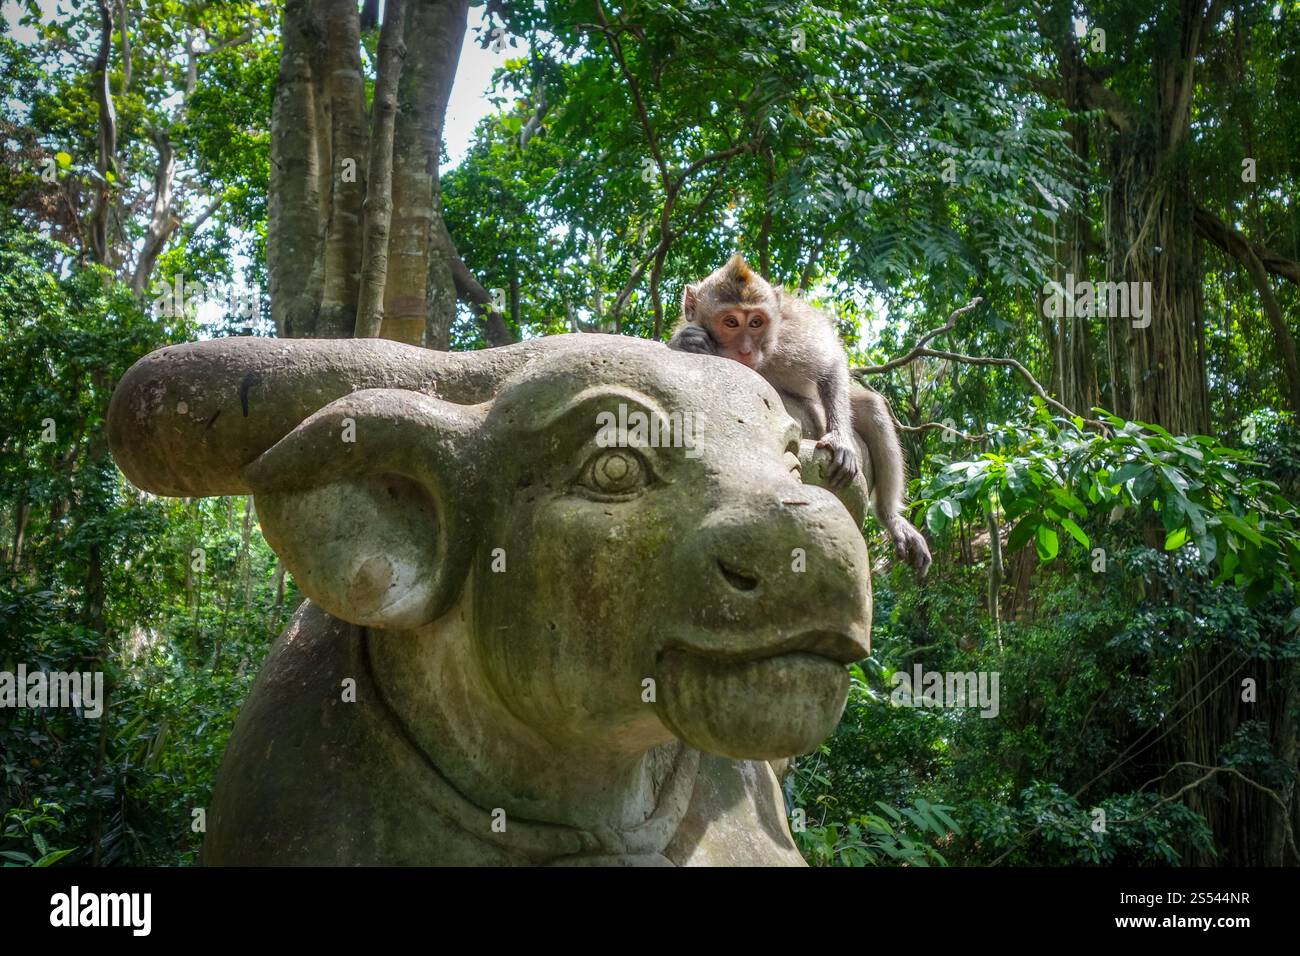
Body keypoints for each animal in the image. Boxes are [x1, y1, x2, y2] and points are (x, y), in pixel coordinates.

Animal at [668, 254, 931, 575]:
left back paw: (891, 518)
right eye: (731, 322)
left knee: (870, 407)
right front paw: (687, 341)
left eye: (756, 322)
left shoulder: (790, 341)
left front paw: (840, 440)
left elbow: (831, 365)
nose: (746, 351)